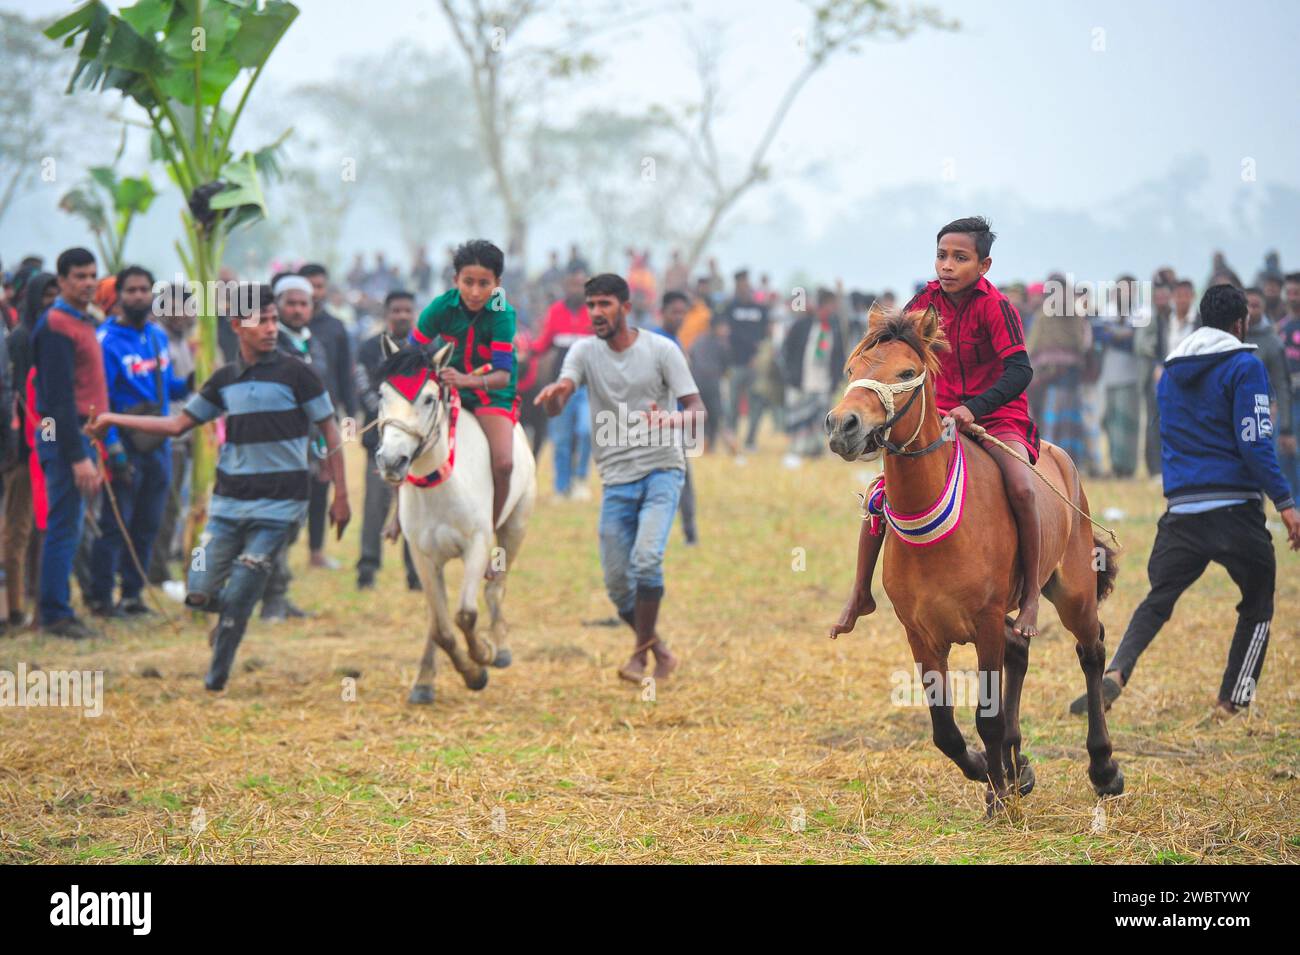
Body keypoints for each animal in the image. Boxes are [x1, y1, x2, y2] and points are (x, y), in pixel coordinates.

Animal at [373, 337, 537, 704]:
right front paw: (452, 676)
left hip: (516, 526)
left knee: (495, 589)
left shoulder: (476, 545)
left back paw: (501, 648)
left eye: (429, 398)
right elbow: (441, 627)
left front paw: (483, 656)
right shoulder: (423, 556)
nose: (391, 460)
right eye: (381, 394)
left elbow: (465, 615)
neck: (440, 484)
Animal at [825, 304, 1123, 814]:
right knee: (1020, 650)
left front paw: (999, 795)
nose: (844, 425)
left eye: (906, 373)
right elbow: (945, 728)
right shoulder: (920, 633)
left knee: (1092, 650)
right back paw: (1018, 766)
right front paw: (989, 769)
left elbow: (989, 717)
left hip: (1075, 592)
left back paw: (1101, 767)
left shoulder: (984, 621)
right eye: (851, 371)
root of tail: (1061, 459)